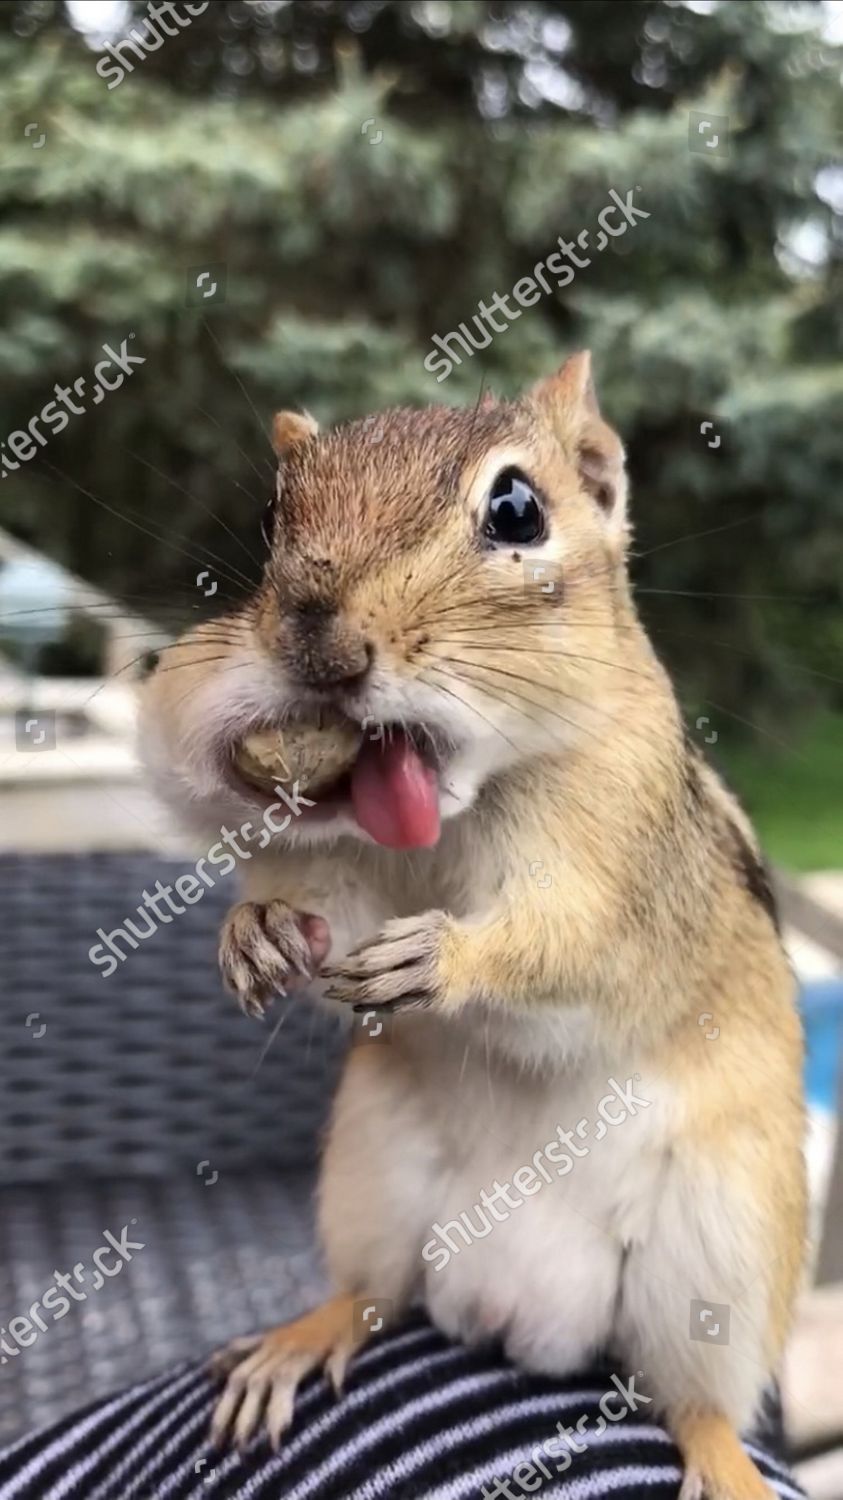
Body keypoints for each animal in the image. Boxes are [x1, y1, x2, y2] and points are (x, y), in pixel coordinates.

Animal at [140, 353, 806, 1500]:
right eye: (272, 514)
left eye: (515, 509)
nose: (316, 637)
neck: (468, 803)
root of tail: (512, 1310)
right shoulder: (351, 862)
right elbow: (324, 915)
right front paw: (256, 926)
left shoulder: (629, 871)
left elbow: (575, 947)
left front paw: (445, 955)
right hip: (372, 1172)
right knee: (373, 1295)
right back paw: (299, 1341)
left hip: (716, 1248)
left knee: (696, 1402)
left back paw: (725, 1463)